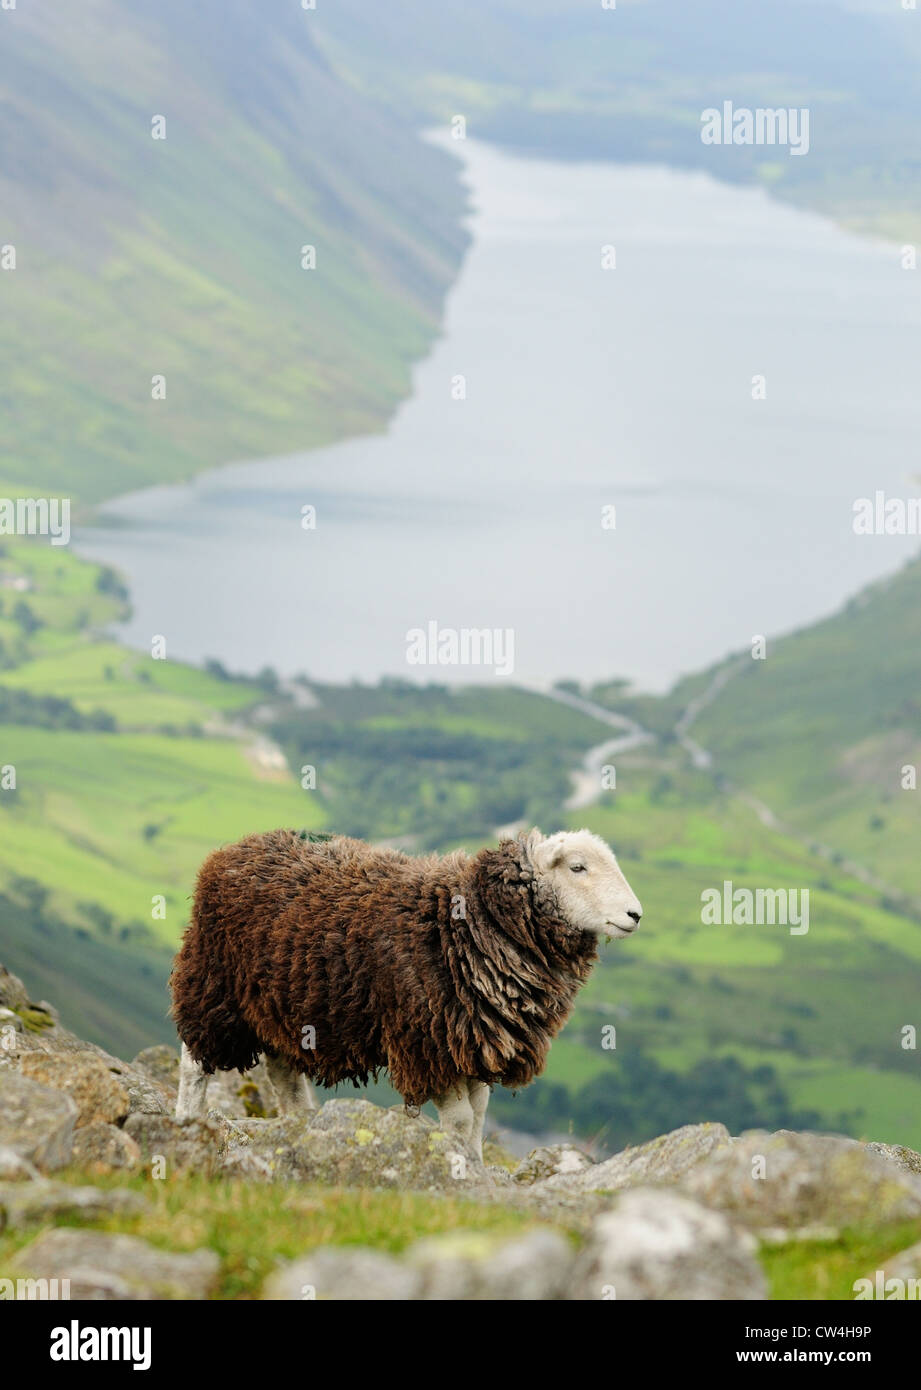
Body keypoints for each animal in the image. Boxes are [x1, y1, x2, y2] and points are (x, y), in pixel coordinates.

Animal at [171, 826, 642, 1159]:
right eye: (577, 867)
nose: (635, 914)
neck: (466, 924)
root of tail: (234, 849)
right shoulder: (429, 1043)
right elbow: (460, 1122)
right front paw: (460, 1169)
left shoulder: (477, 1040)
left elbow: (478, 1120)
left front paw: (476, 1170)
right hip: (212, 986)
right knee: (194, 1065)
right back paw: (186, 1122)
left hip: (281, 1003)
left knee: (284, 1074)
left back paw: (301, 1128)